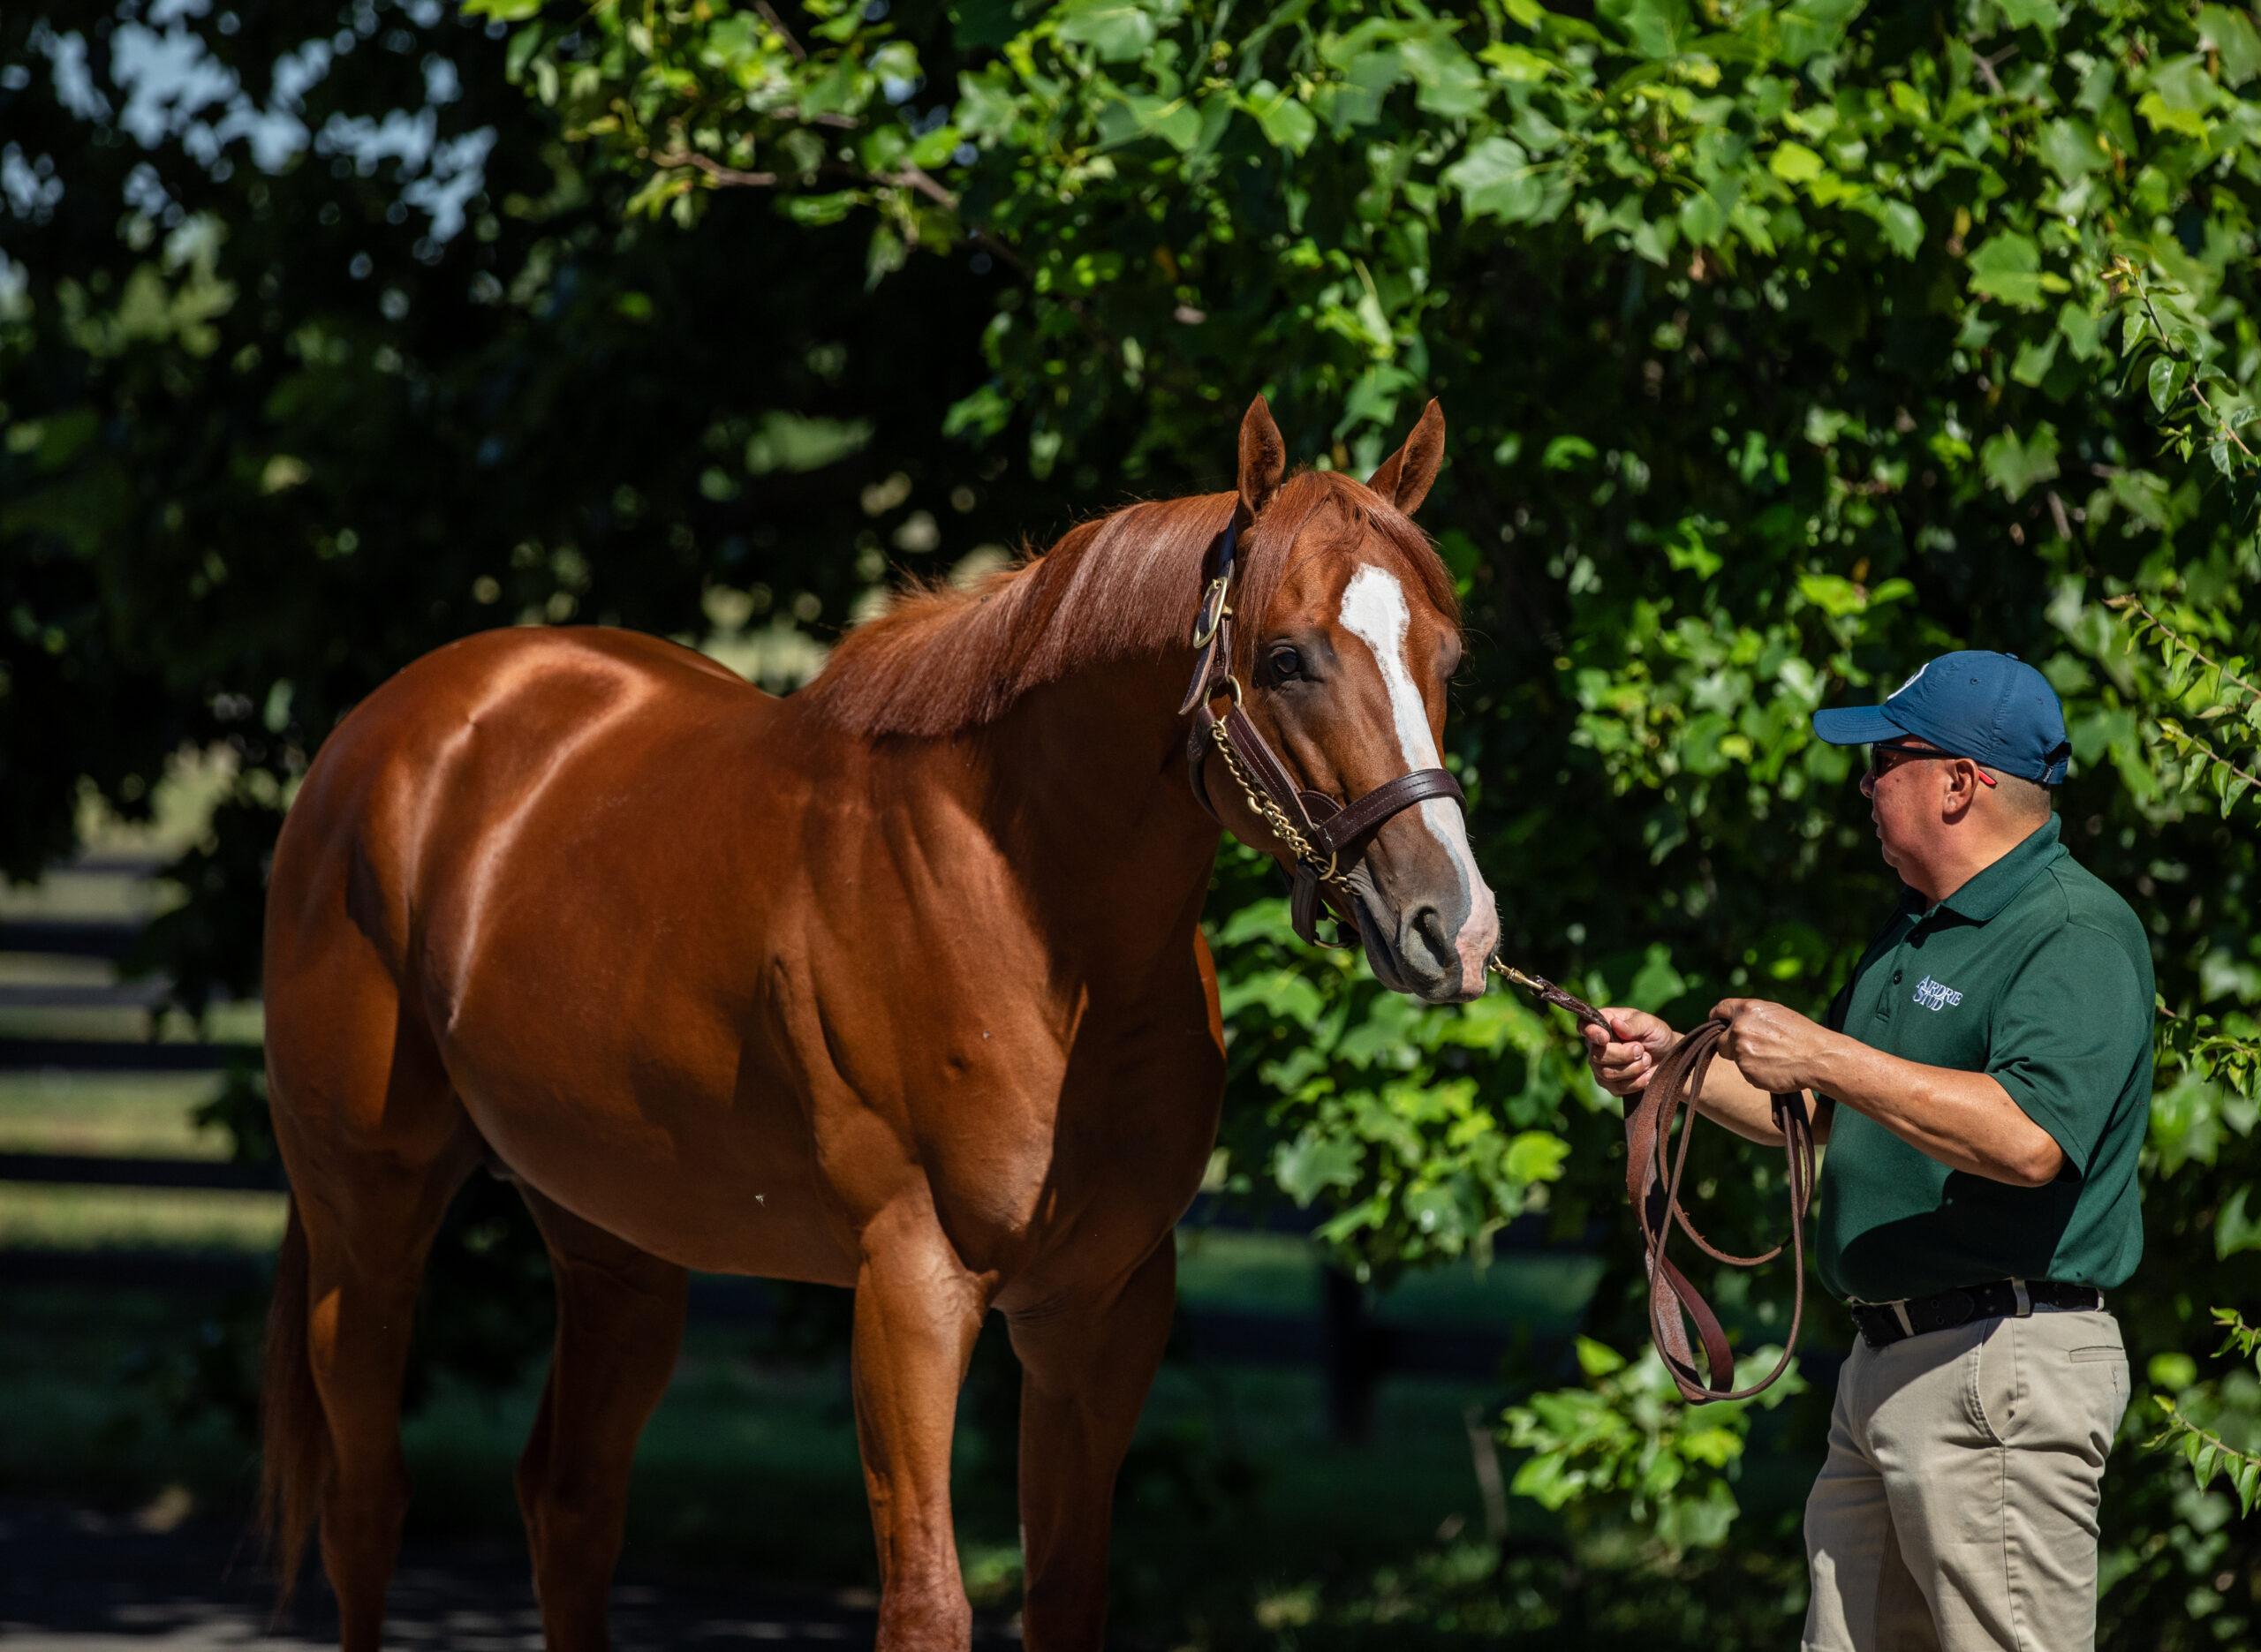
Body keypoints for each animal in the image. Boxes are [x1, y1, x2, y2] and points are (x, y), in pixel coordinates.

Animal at [258, 395, 1500, 1652]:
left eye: (1446, 660)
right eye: (1287, 658)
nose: (1453, 926)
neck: (1027, 920)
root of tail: (382, 735)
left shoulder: (1096, 1309)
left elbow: (1065, 1592)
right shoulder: (911, 1287)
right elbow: (925, 1604)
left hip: (614, 1243)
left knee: (567, 1504)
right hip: (368, 1218)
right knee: (368, 1505)